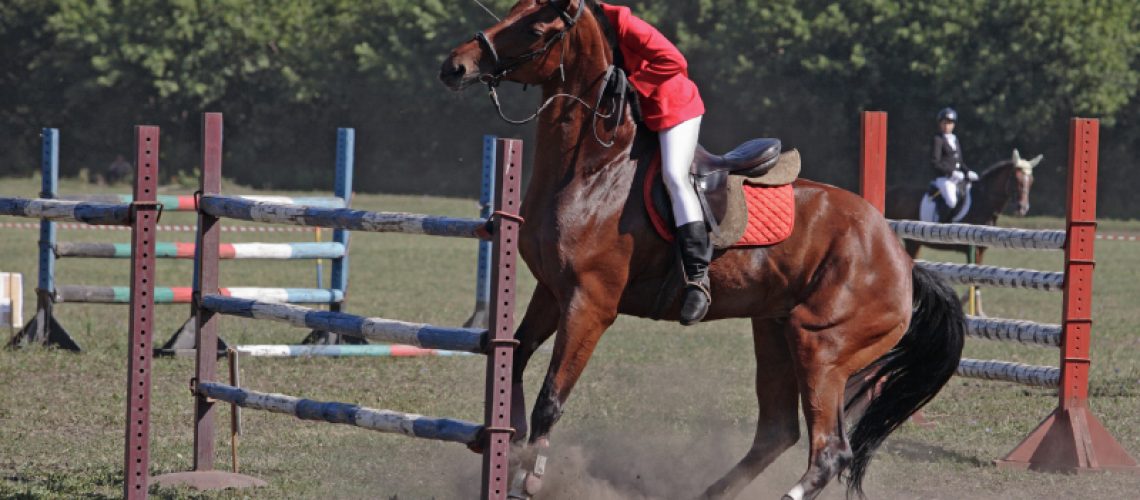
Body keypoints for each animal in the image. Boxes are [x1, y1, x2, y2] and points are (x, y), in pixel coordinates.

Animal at [440, 2, 965, 498]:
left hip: (822, 347)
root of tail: (901, 258)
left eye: (534, 29)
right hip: (775, 332)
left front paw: (527, 479)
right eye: (511, 10)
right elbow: (516, 359)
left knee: (829, 451)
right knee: (777, 432)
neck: (593, 168)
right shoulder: (552, 291)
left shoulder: (590, 304)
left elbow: (552, 397)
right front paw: (508, 443)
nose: (454, 66)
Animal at [884, 150, 1041, 315]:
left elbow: (977, 278)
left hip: (914, 243)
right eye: (1015, 178)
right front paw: (976, 311)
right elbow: (974, 278)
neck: (983, 201)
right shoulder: (970, 248)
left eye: (1031, 181)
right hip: (912, 243)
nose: (1022, 209)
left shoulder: (981, 249)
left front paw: (970, 306)